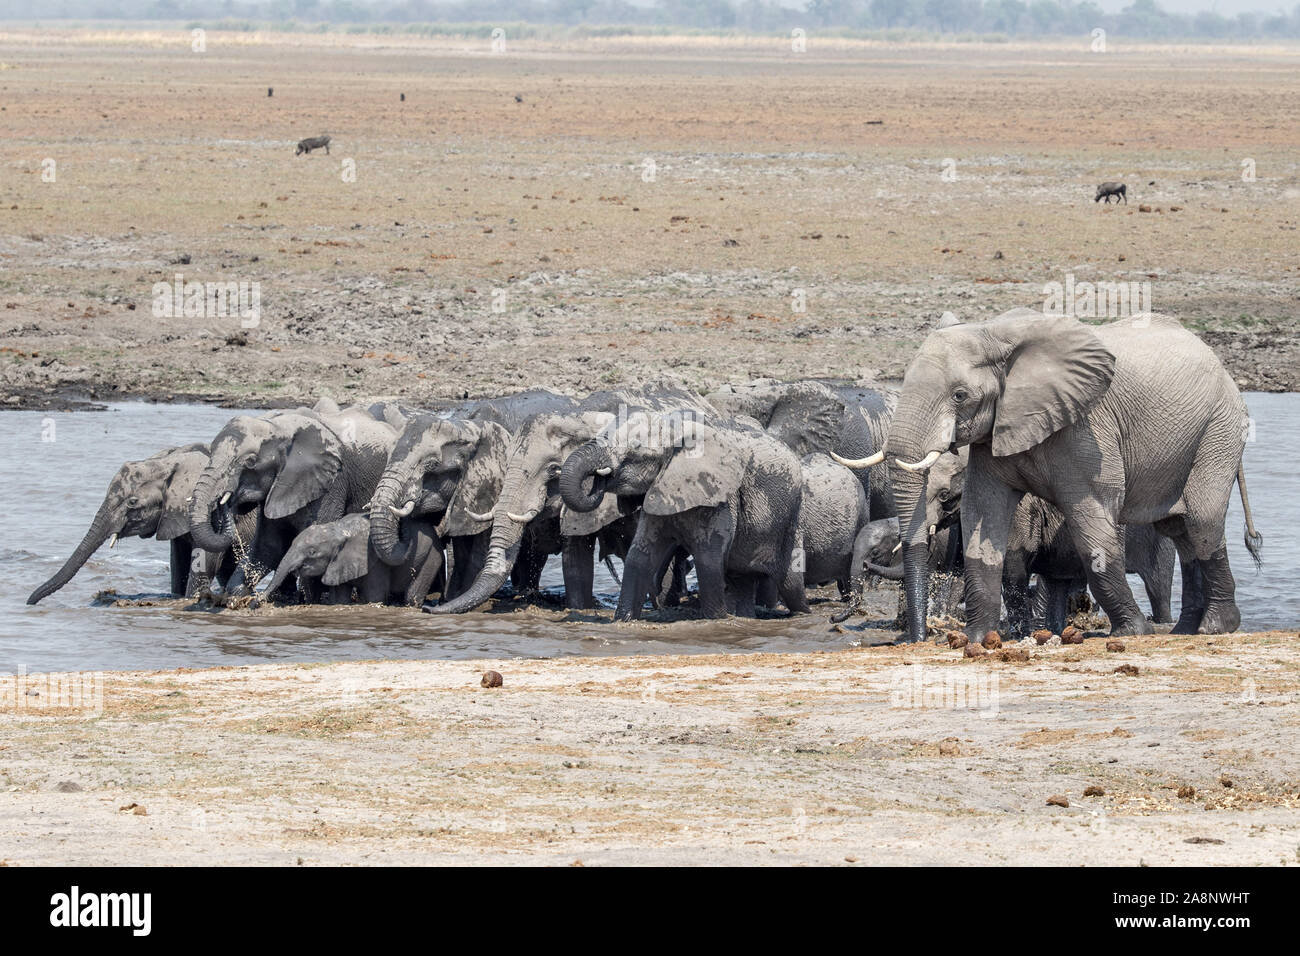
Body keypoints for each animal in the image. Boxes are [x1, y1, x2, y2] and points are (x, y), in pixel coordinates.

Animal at [27, 443, 241, 604]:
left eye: (132, 502)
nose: (29, 603)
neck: (171, 461)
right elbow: (178, 561)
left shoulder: (208, 514)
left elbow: (206, 559)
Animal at [188, 404, 399, 599]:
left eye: (250, 462)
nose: (224, 501)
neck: (278, 427)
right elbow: (269, 545)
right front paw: (237, 597)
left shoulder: (332, 481)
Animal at [252, 513, 441, 607]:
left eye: (312, 552)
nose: (253, 604)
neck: (338, 529)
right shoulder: (338, 565)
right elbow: (340, 597)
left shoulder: (374, 561)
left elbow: (374, 596)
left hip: (431, 556)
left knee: (412, 596)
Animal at [560, 411, 805, 620]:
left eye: (636, 447)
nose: (598, 480)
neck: (675, 428)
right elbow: (638, 558)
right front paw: (623, 621)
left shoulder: (719, 498)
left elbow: (708, 561)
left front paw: (717, 621)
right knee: (742, 578)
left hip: (789, 521)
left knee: (790, 581)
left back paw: (801, 614)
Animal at [882, 309, 1262, 643]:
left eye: (960, 395)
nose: (917, 639)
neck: (994, 332)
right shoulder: (993, 434)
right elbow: (983, 516)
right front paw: (974, 638)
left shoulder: (1088, 430)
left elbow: (1091, 520)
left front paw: (1131, 632)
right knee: (1178, 530)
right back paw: (1185, 630)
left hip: (1219, 427)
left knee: (1201, 521)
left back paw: (1216, 627)